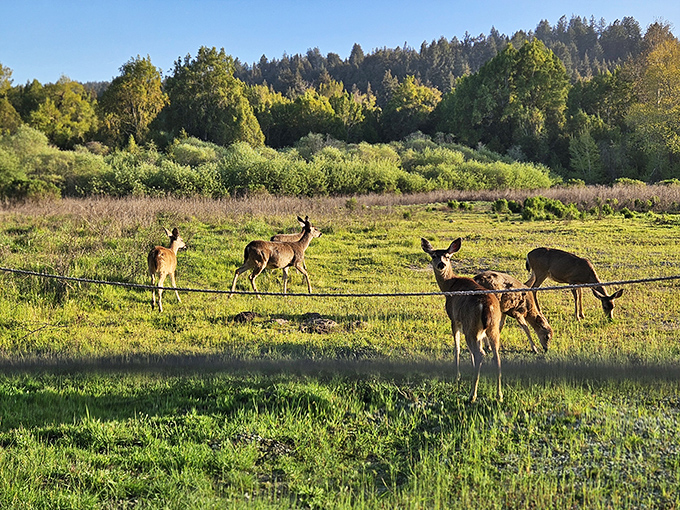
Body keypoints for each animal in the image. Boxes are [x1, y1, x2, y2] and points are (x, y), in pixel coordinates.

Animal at [422, 237, 503, 403]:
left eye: (447, 256)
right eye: (434, 255)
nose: (441, 264)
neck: (449, 286)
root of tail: (487, 306)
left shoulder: (454, 319)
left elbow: (457, 347)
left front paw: (457, 376)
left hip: (471, 326)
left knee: (480, 354)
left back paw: (472, 395)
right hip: (492, 328)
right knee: (496, 356)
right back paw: (499, 395)